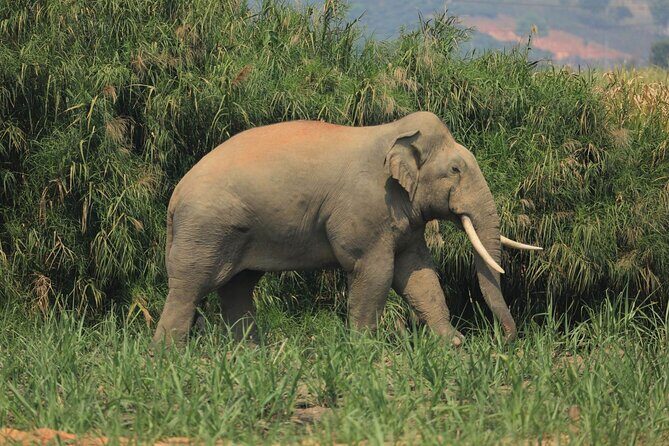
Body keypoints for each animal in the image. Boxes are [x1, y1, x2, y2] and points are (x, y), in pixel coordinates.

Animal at [152, 111, 541, 347]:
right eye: (456, 170)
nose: (506, 340)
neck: (395, 133)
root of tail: (174, 197)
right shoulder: (366, 208)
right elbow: (375, 272)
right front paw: (365, 349)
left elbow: (418, 273)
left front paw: (452, 345)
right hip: (206, 228)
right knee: (191, 286)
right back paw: (169, 355)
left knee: (237, 287)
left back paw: (250, 354)